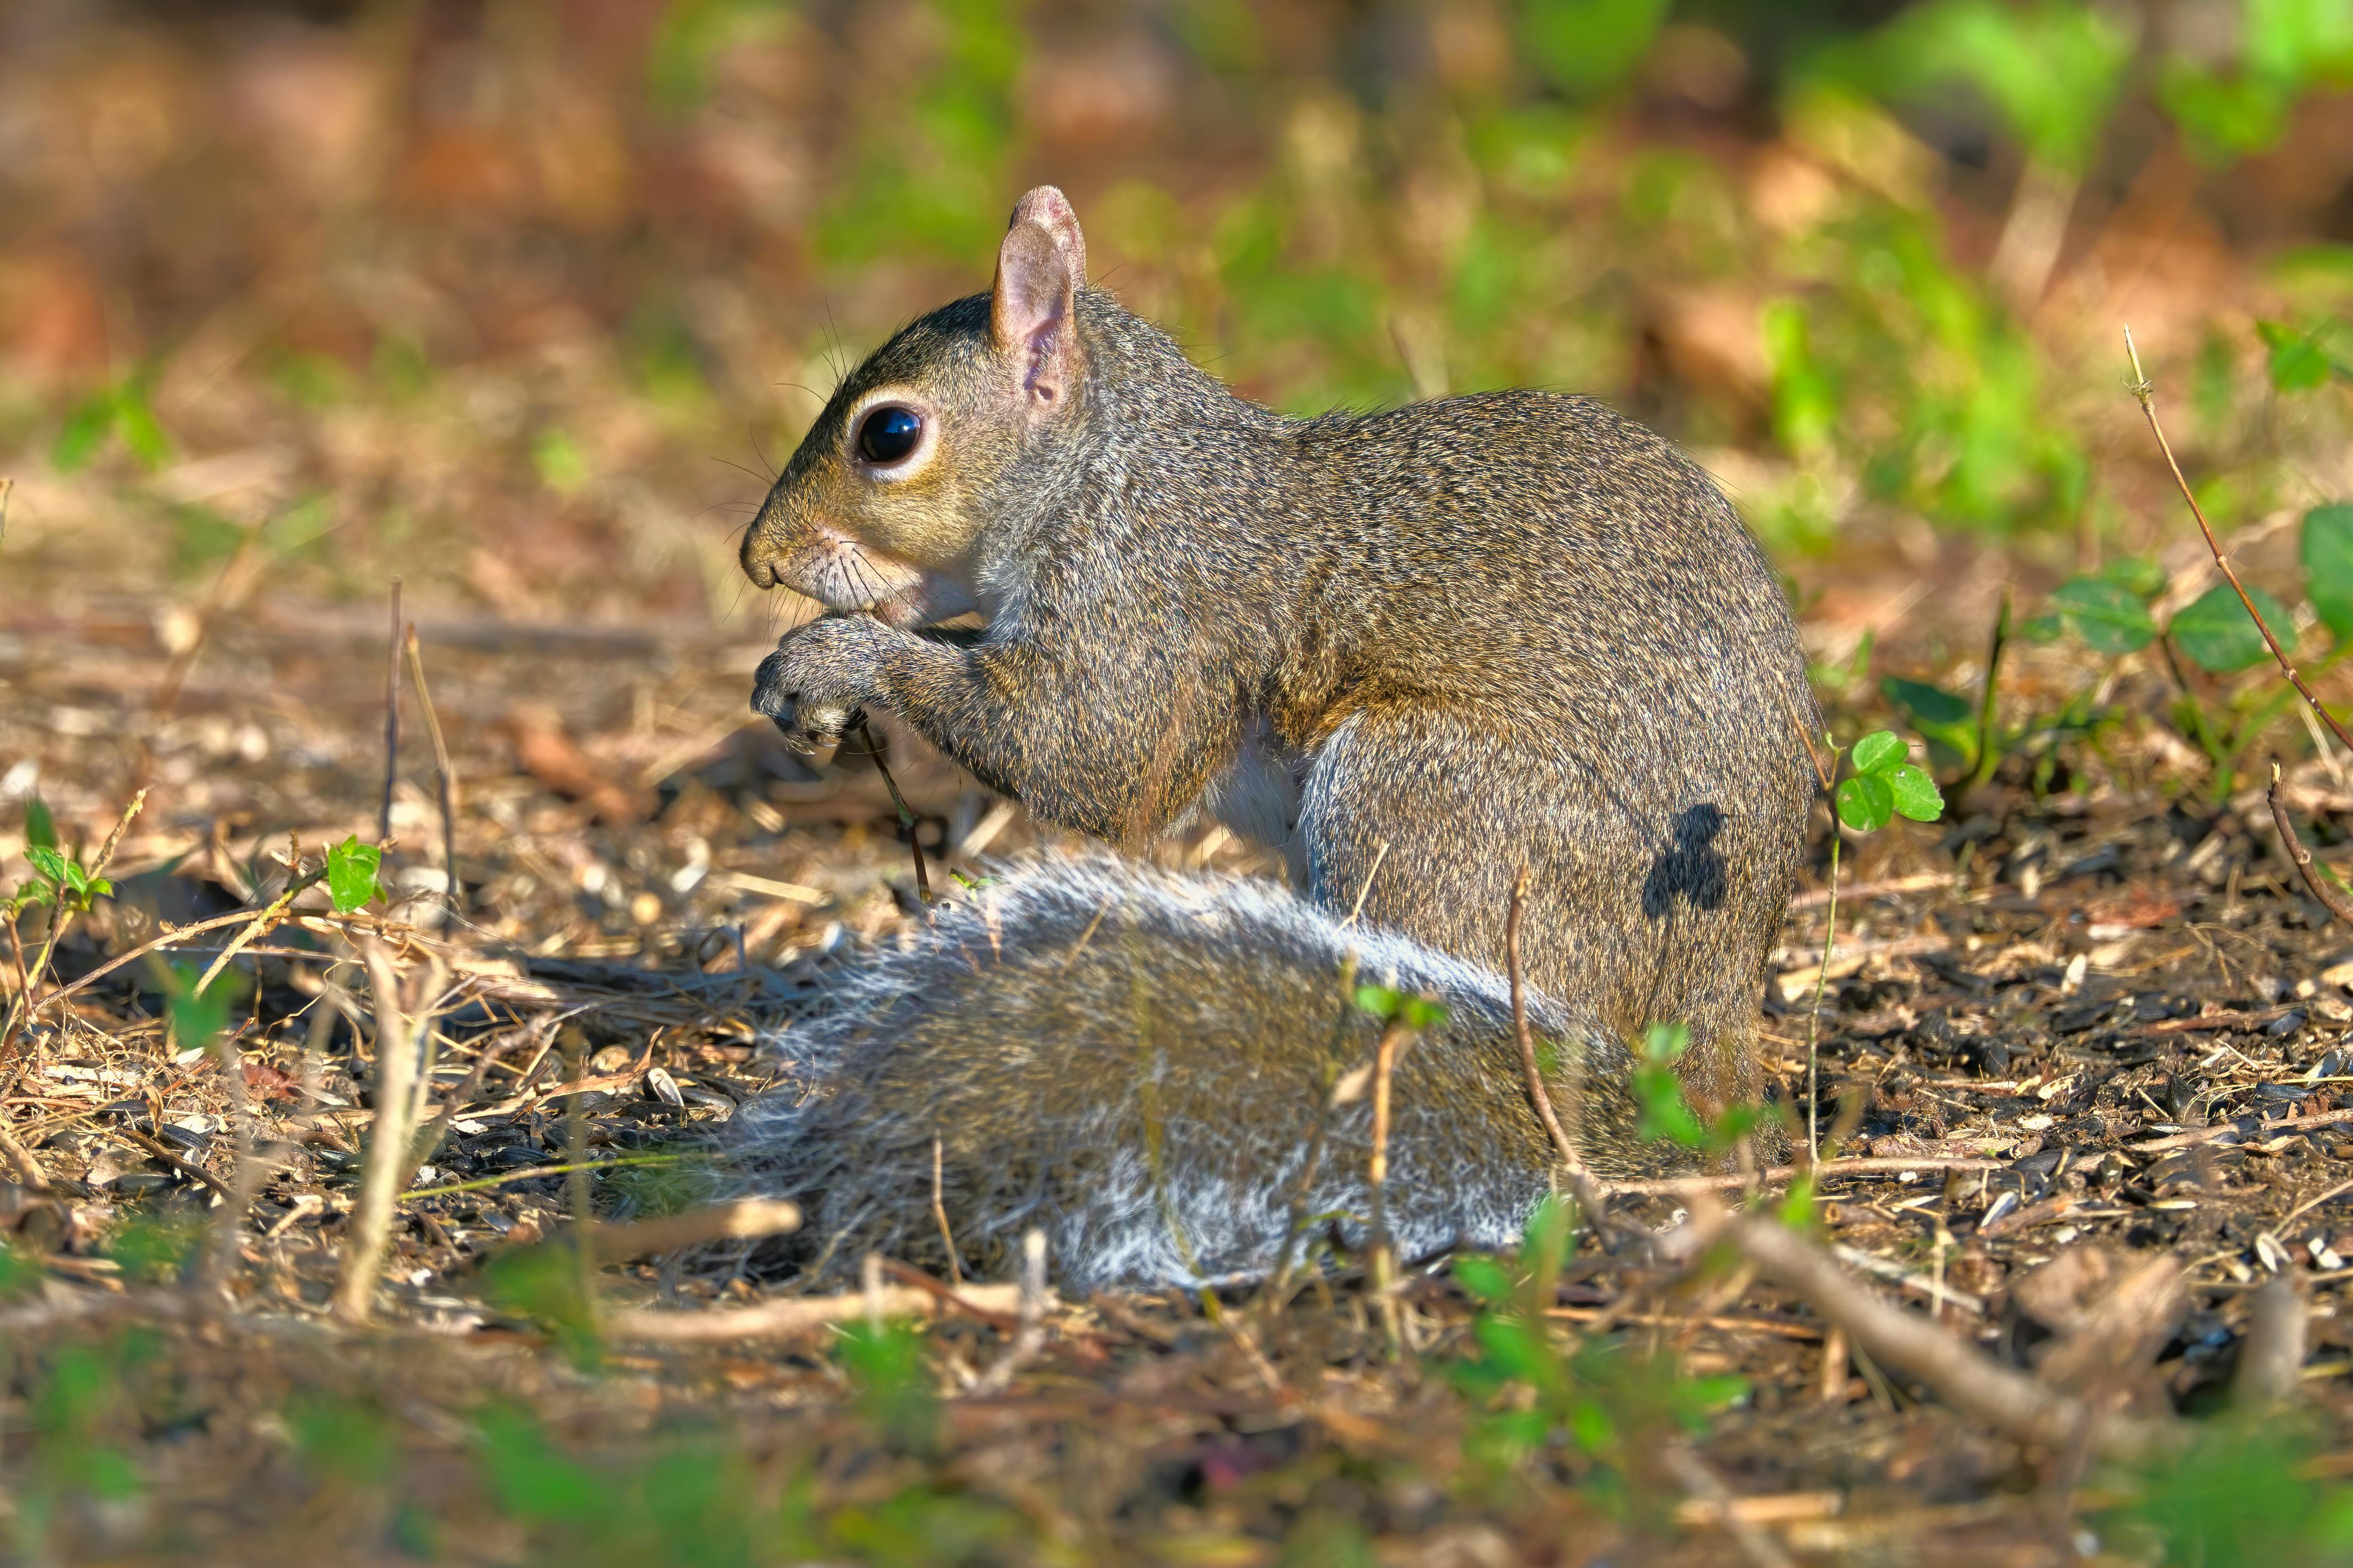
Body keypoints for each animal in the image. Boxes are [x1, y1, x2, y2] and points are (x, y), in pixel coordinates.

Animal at [738, 185, 1814, 1163]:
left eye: (889, 435)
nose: (759, 559)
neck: (1109, 478)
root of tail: (1713, 1024)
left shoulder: (1155, 610)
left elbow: (1090, 756)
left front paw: (833, 659)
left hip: (1423, 803)